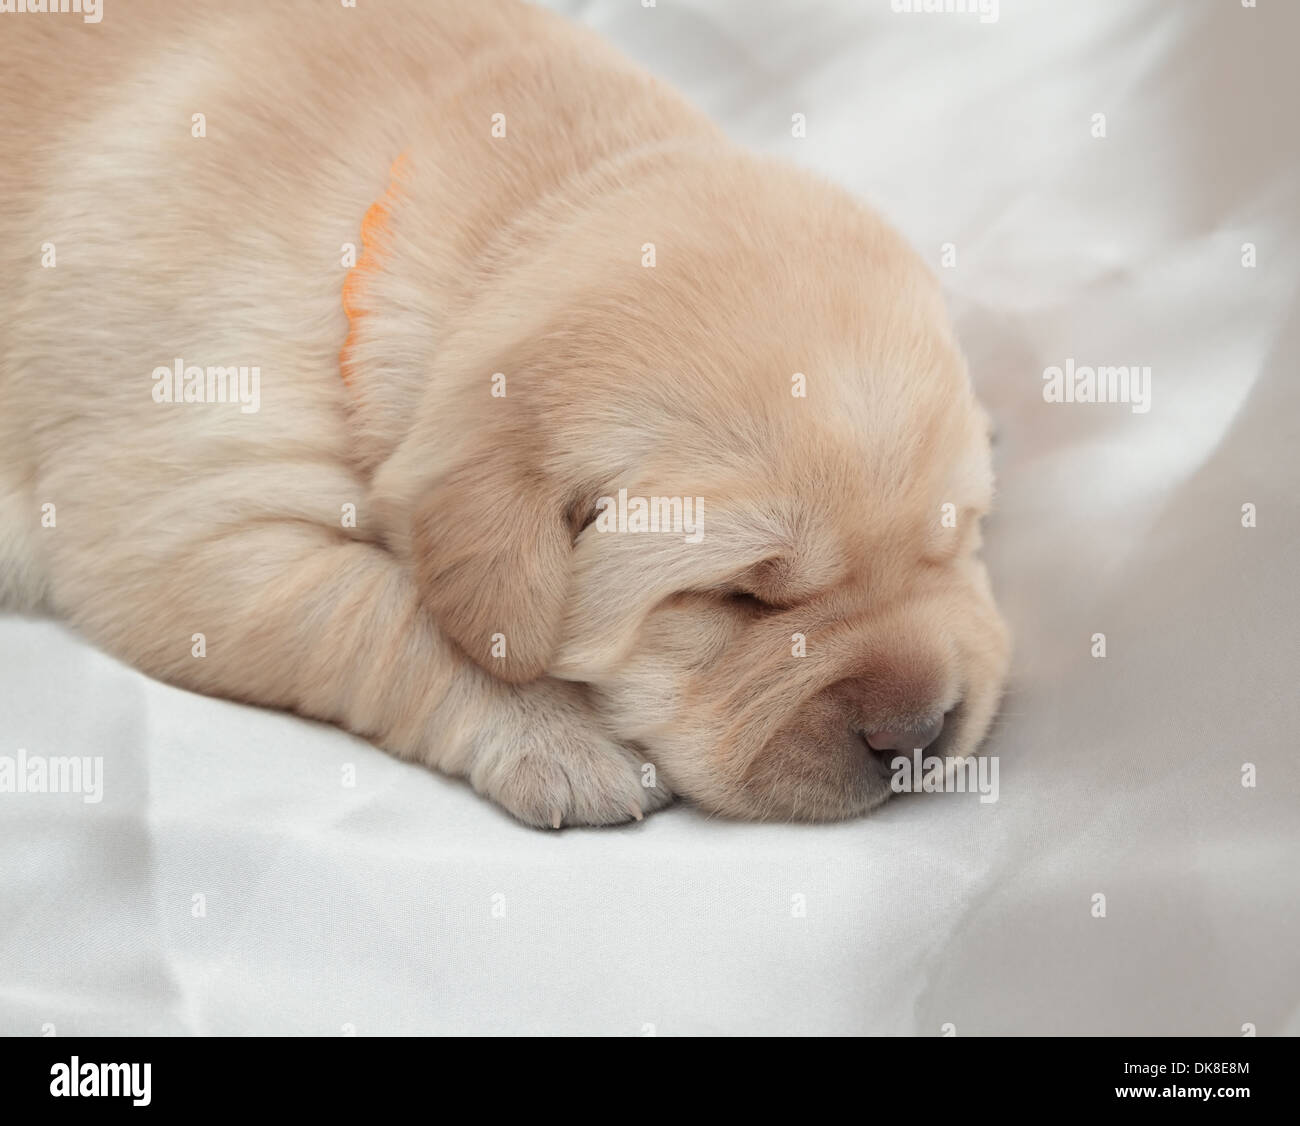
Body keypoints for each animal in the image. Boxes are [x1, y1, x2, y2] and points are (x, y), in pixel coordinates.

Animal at [0, 0, 1008, 826]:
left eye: (951, 541)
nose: (920, 732)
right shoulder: (190, 525)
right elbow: (394, 615)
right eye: (737, 597)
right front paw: (558, 737)